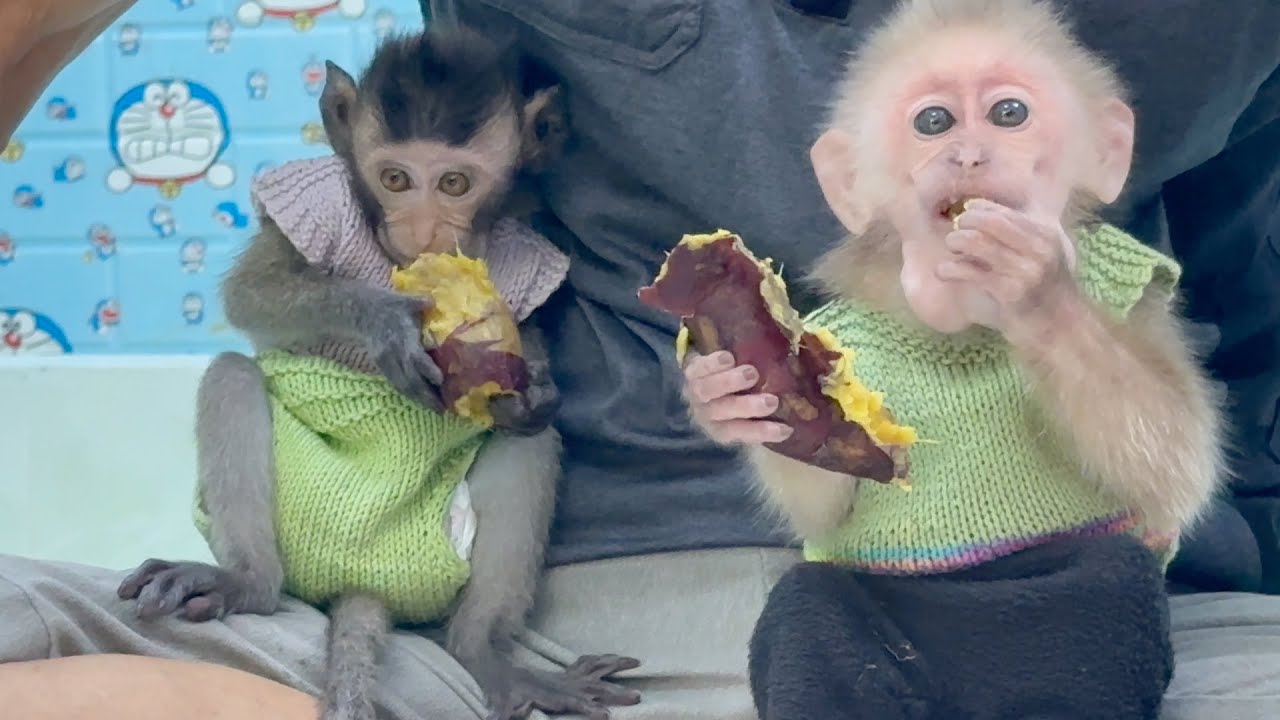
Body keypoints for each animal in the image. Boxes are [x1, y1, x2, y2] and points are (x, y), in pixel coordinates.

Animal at [115, 27, 640, 720]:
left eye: (453, 183)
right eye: (394, 178)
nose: (421, 229)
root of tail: (361, 580)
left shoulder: (524, 243)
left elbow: (525, 356)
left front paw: (534, 392)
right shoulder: (314, 200)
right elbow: (253, 293)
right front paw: (384, 319)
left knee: (526, 446)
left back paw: (484, 651)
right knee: (232, 376)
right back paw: (246, 582)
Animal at [679, 0, 1225, 717]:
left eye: (1009, 114)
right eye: (932, 122)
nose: (967, 154)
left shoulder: (1137, 291)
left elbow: (1176, 460)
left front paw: (1037, 290)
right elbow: (823, 495)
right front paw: (727, 397)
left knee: (1108, 581)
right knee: (809, 604)